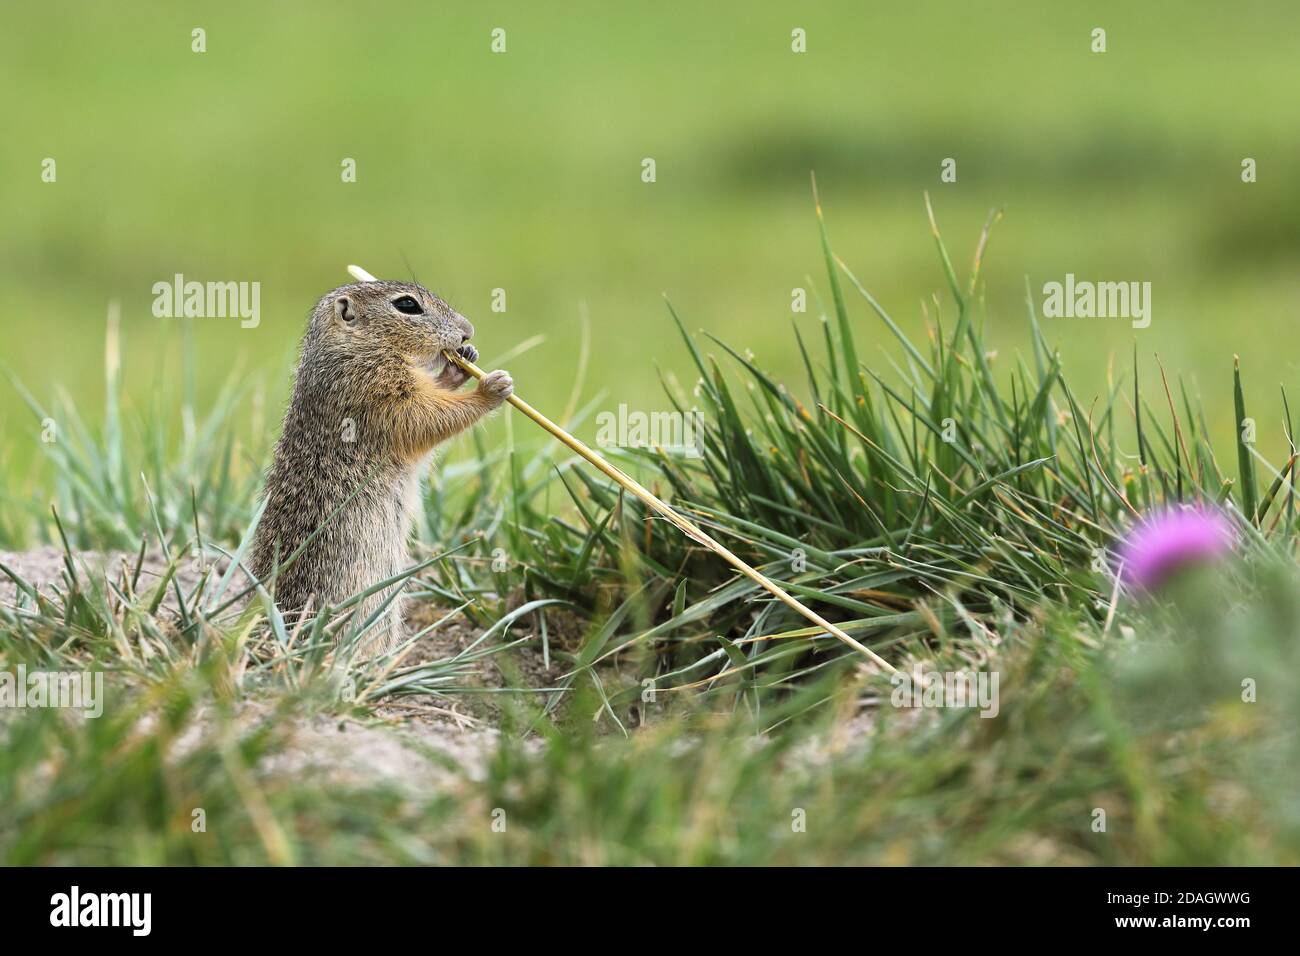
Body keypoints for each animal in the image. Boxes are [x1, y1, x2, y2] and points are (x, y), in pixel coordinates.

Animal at [249, 279, 513, 651]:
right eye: (407, 305)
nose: (467, 331)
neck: (355, 347)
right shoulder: (375, 388)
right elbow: (423, 417)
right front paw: (491, 388)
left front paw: (460, 366)